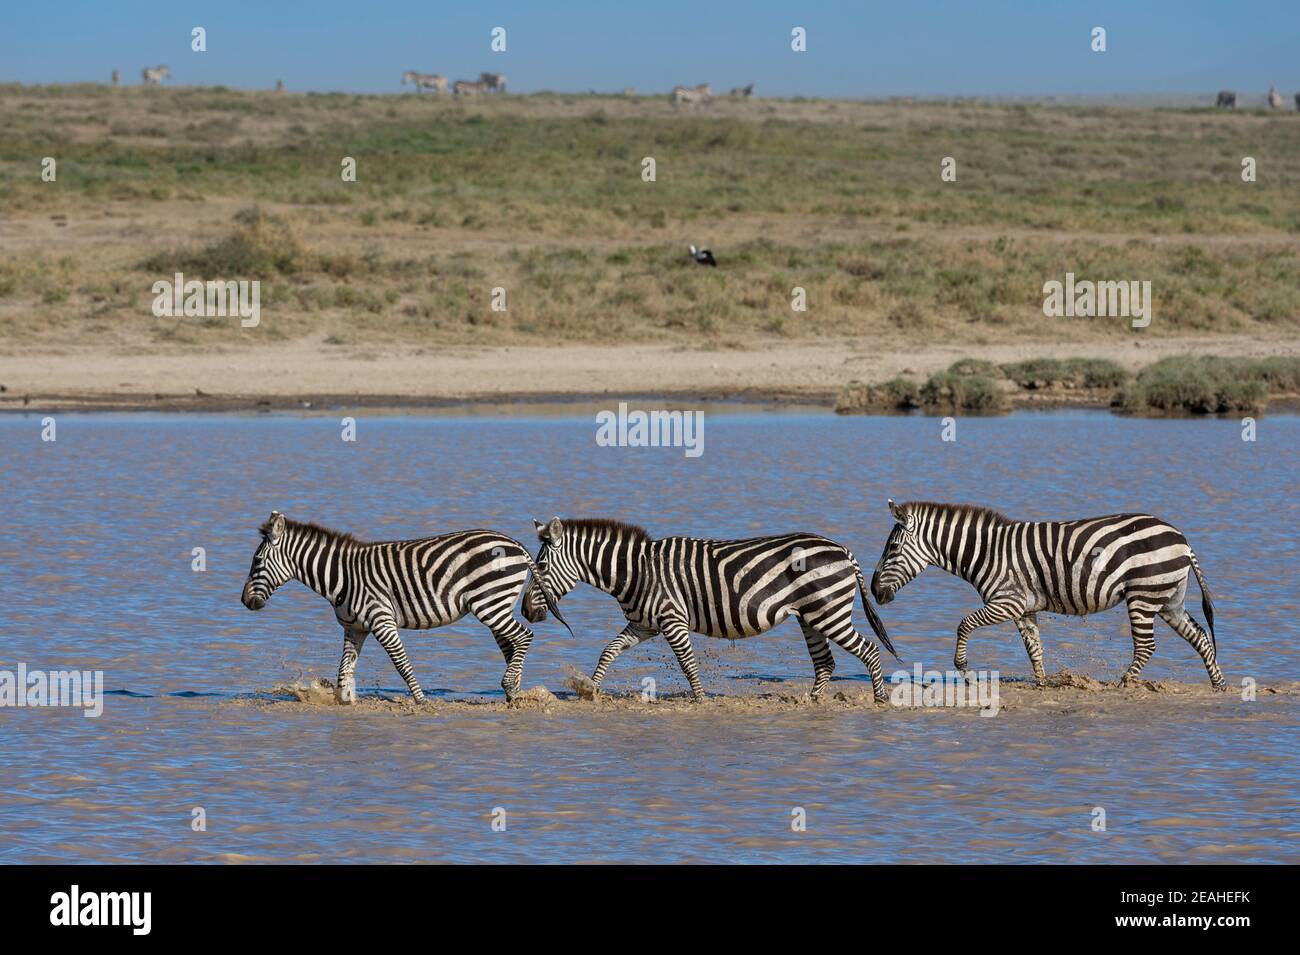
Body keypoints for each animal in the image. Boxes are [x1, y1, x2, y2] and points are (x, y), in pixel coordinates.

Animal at [240, 512, 569, 704]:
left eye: (256, 562)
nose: (244, 602)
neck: (343, 576)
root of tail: (515, 543)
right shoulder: (354, 628)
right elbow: (344, 669)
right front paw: (344, 701)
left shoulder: (382, 621)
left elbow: (401, 664)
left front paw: (421, 701)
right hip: (498, 603)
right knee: (512, 643)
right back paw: (513, 693)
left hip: (490, 602)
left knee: (524, 636)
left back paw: (510, 685)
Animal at [524, 518, 899, 702]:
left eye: (539, 567)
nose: (526, 611)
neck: (637, 571)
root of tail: (842, 549)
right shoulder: (644, 624)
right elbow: (608, 651)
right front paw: (590, 690)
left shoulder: (672, 620)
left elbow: (688, 664)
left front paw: (701, 700)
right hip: (811, 616)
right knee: (826, 663)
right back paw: (810, 701)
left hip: (828, 612)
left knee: (868, 650)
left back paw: (879, 698)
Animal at [869, 501, 1224, 689]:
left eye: (893, 549)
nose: (874, 592)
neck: (986, 551)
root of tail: (1181, 537)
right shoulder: (1024, 608)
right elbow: (1034, 648)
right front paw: (1043, 683)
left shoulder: (1006, 602)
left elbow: (963, 625)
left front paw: (965, 671)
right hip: (1168, 598)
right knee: (1200, 636)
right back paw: (1218, 685)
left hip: (1143, 594)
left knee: (1148, 646)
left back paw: (1123, 683)